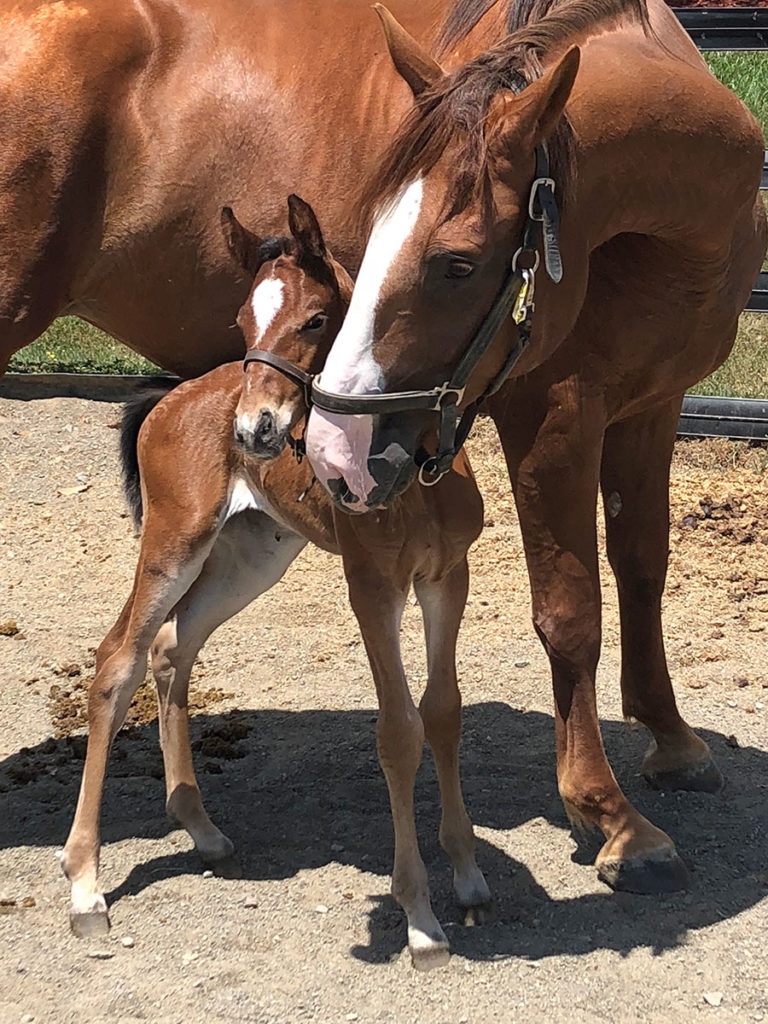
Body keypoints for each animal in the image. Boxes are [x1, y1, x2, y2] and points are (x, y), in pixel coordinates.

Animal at [59, 196, 488, 971]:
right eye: (242, 322)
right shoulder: (372, 587)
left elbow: (443, 711)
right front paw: (421, 921)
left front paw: (468, 874)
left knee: (172, 647)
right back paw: (85, 887)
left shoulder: (448, 576)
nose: (254, 431)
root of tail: (168, 401)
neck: (412, 474)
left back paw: (201, 829)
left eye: (317, 319)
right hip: (175, 544)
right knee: (117, 660)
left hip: (251, 558)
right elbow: (397, 732)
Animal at [302, 2, 767, 896]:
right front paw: (611, 814)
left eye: (456, 264)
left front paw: (671, 739)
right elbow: (571, 612)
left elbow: (642, 566)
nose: (334, 451)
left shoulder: (653, 404)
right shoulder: (552, 415)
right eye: (365, 236)